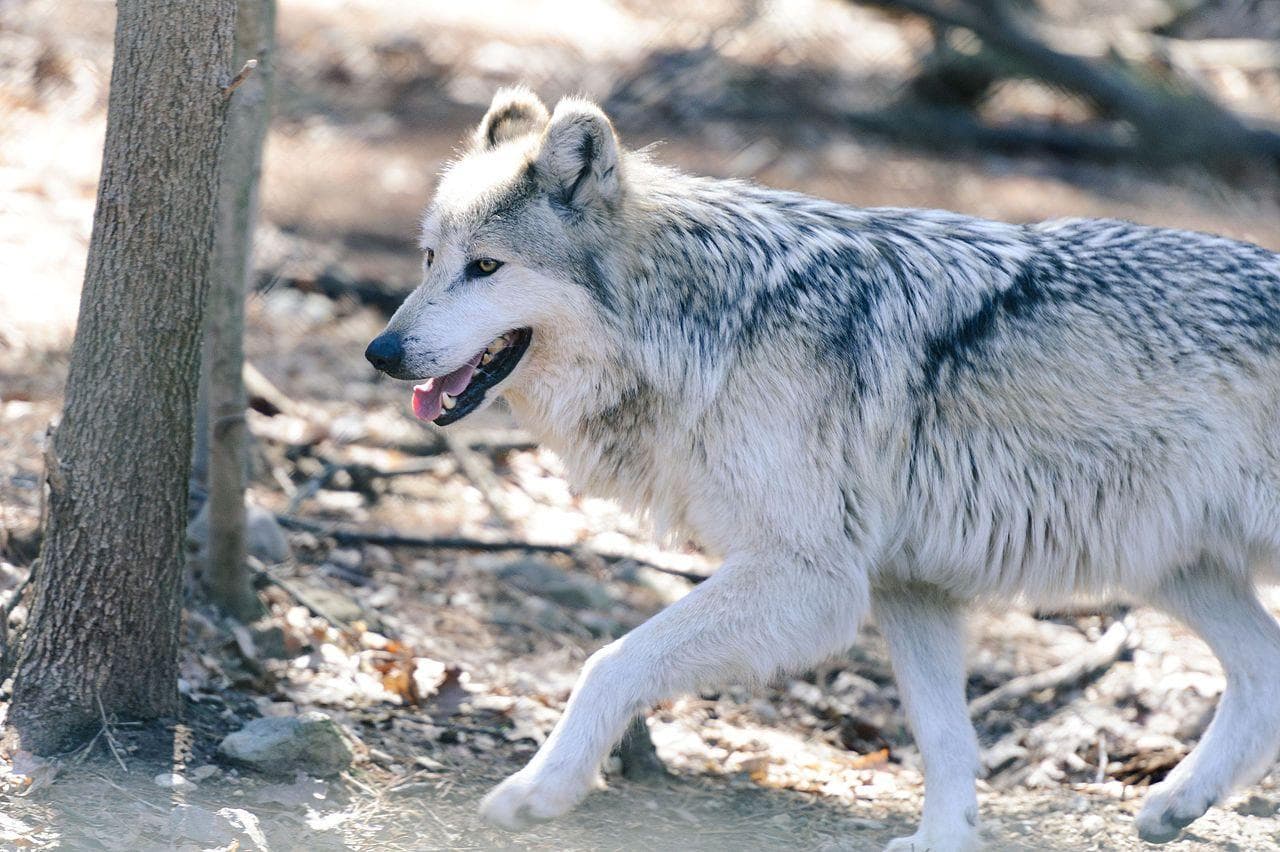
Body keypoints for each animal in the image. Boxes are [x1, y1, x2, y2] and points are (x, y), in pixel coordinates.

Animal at [364, 87, 1280, 850]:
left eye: (486, 267)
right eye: (428, 259)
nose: (381, 352)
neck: (707, 325)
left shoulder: (811, 577)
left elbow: (609, 662)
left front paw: (540, 791)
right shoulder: (907, 584)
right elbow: (945, 740)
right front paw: (942, 843)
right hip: (1172, 566)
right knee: (1263, 672)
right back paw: (1175, 805)